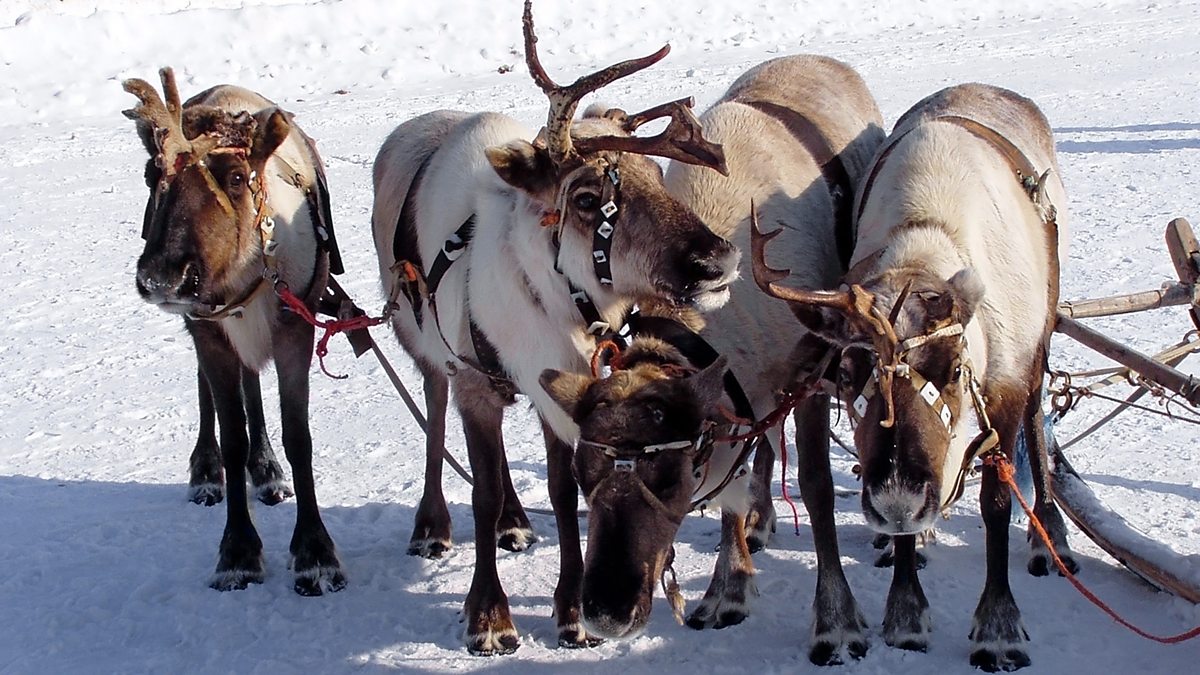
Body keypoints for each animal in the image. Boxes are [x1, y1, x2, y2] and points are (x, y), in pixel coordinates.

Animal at [125, 68, 347, 596]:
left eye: (237, 177)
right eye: (151, 176)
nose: (162, 278)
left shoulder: (295, 329)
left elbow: (299, 437)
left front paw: (315, 554)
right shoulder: (209, 331)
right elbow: (231, 436)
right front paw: (239, 553)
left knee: (253, 386)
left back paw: (266, 471)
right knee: (211, 395)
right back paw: (206, 472)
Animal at [370, 1, 737, 655]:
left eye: (656, 175)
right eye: (587, 199)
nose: (717, 261)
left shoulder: (558, 390)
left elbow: (564, 493)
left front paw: (571, 614)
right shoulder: (475, 382)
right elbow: (482, 490)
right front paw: (489, 617)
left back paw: (517, 525)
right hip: (422, 343)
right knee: (434, 415)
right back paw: (432, 526)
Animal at [541, 54, 886, 652]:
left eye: (671, 476)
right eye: (585, 474)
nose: (605, 611)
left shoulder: (814, 368)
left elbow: (818, 489)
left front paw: (837, 620)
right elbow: (733, 489)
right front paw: (729, 587)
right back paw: (760, 520)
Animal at [751, 82, 1080, 671]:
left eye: (954, 369)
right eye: (848, 371)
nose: (898, 499)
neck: (923, 242)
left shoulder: (1006, 380)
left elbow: (997, 501)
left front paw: (999, 627)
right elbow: (902, 533)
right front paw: (905, 611)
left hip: (1042, 339)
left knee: (1039, 423)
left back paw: (1050, 536)